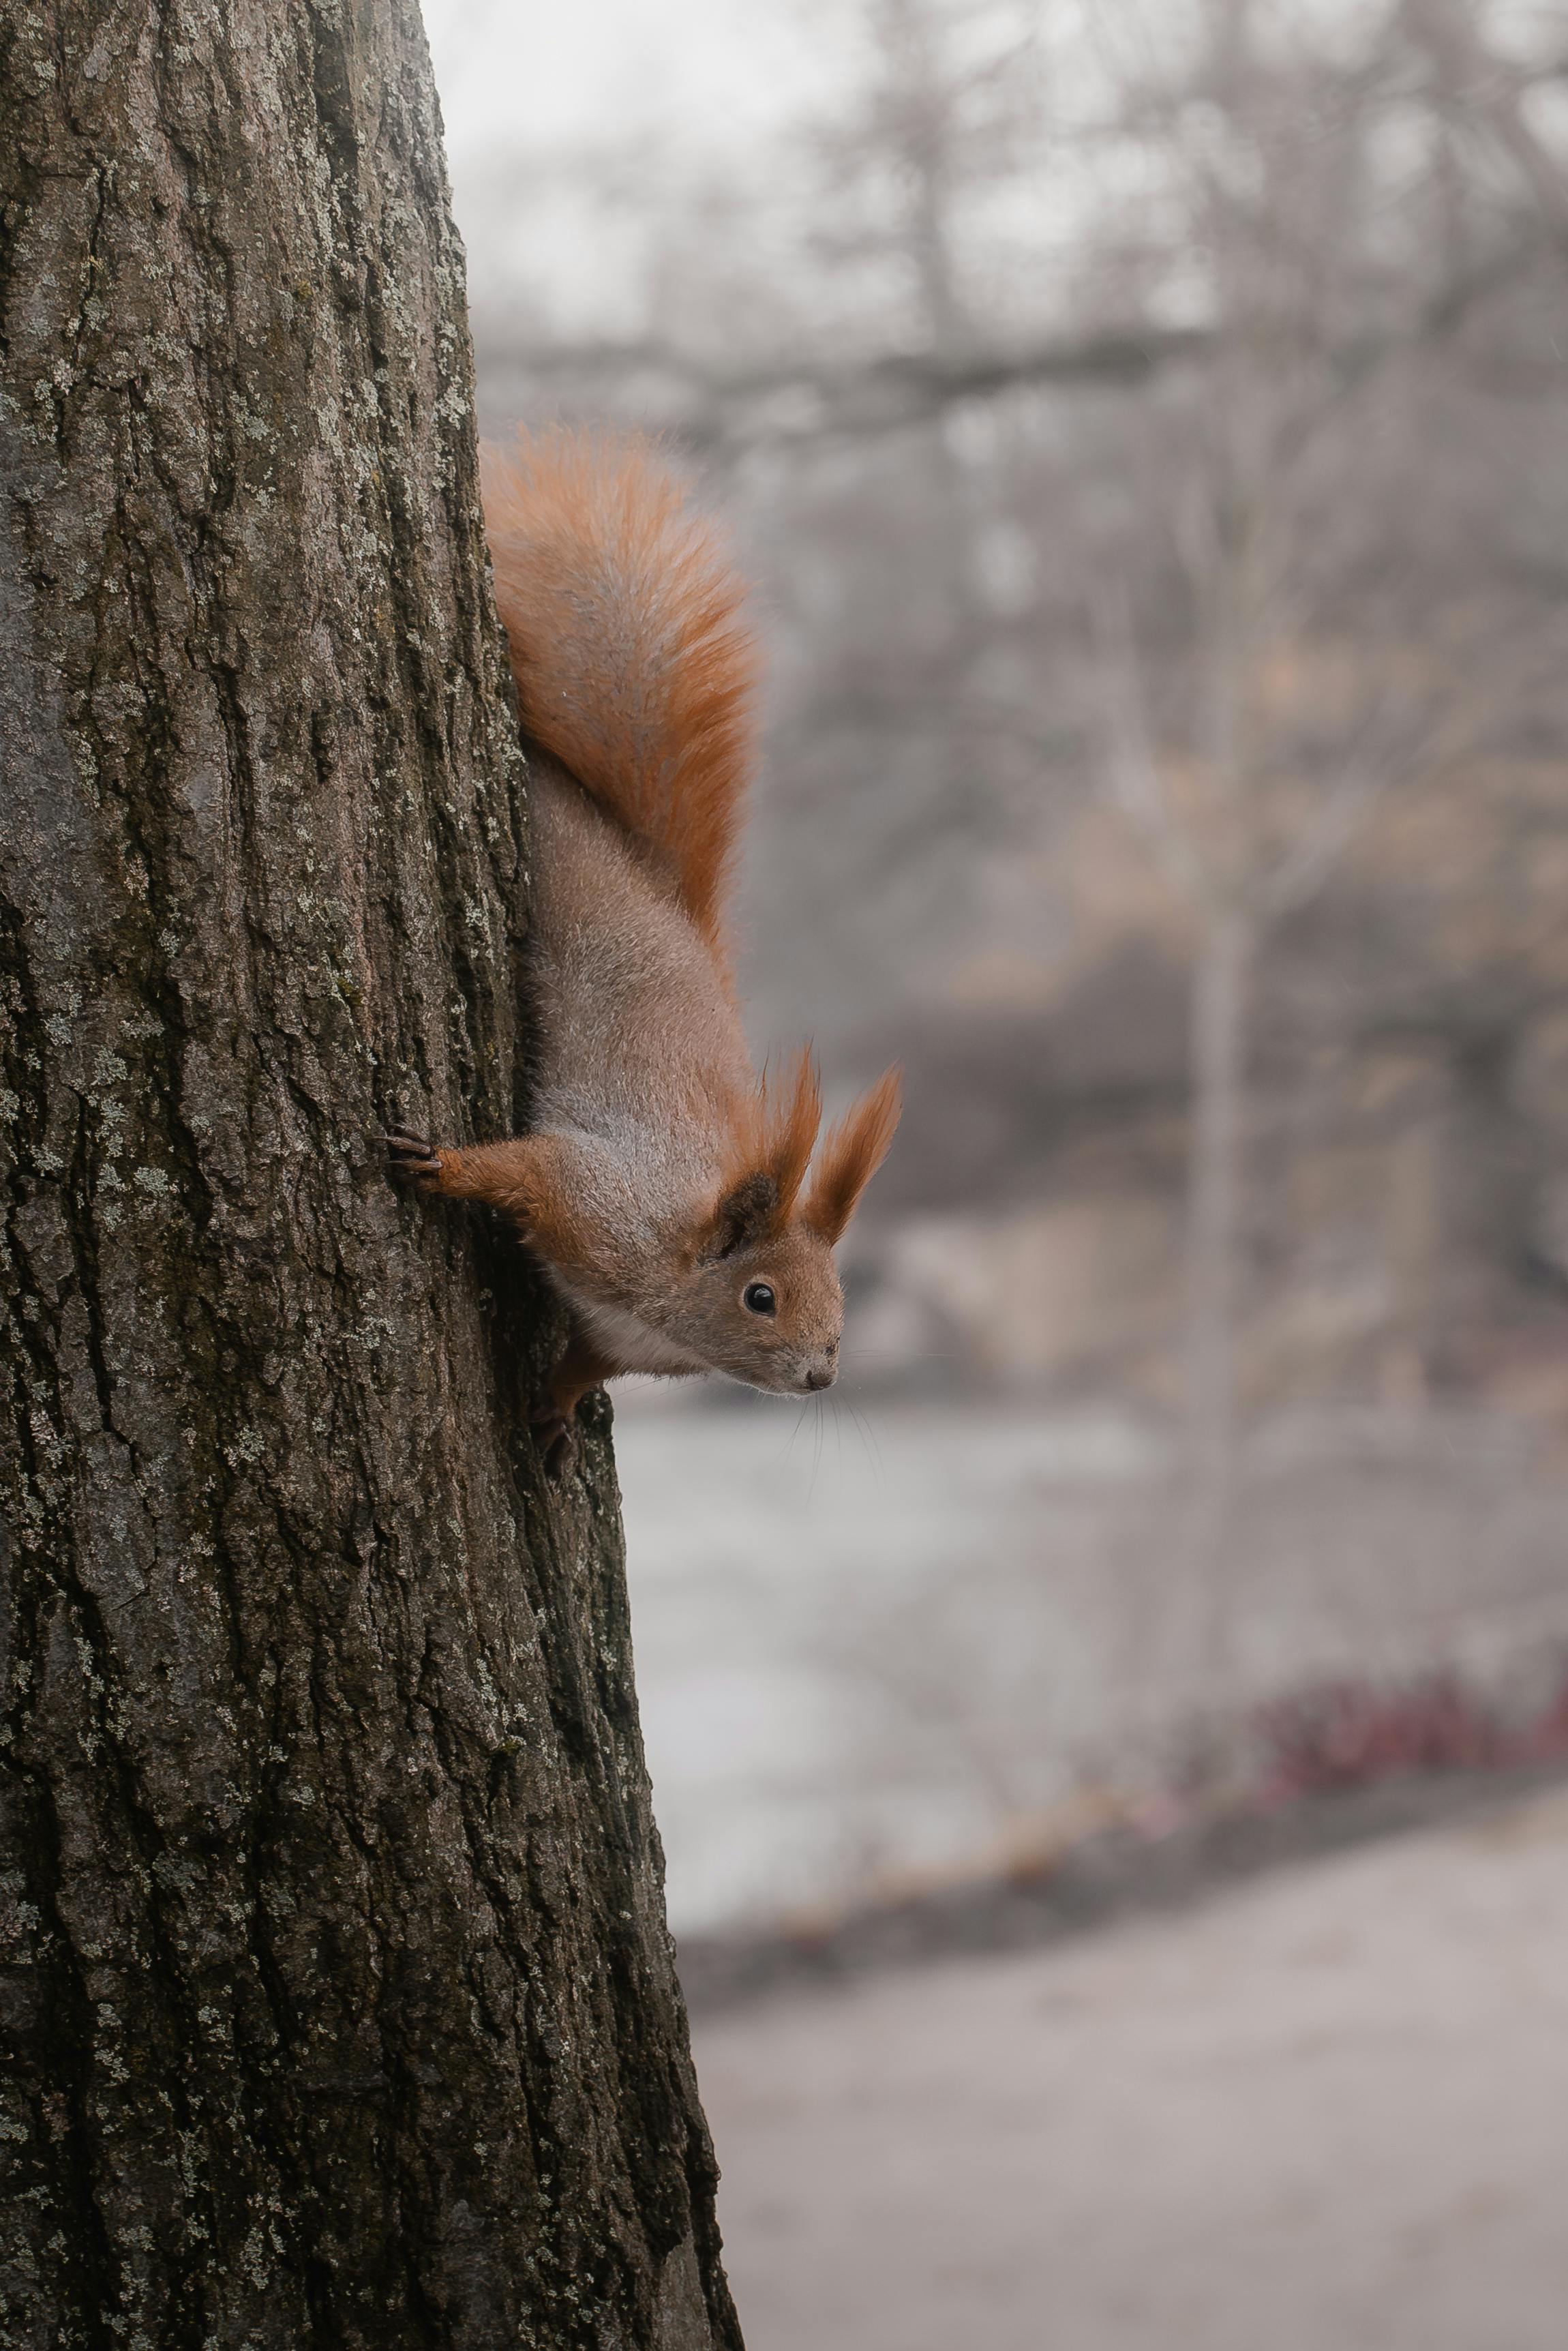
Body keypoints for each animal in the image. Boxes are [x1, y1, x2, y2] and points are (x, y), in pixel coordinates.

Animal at [387, 425, 901, 1461]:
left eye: (840, 1295)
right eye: (759, 1297)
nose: (823, 1374)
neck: (669, 1296)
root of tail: (650, 886)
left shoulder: (617, 1335)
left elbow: (584, 1364)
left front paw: (553, 1407)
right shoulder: (600, 1199)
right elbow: (521, 1170)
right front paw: (445, 1165)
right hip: (560, 864)